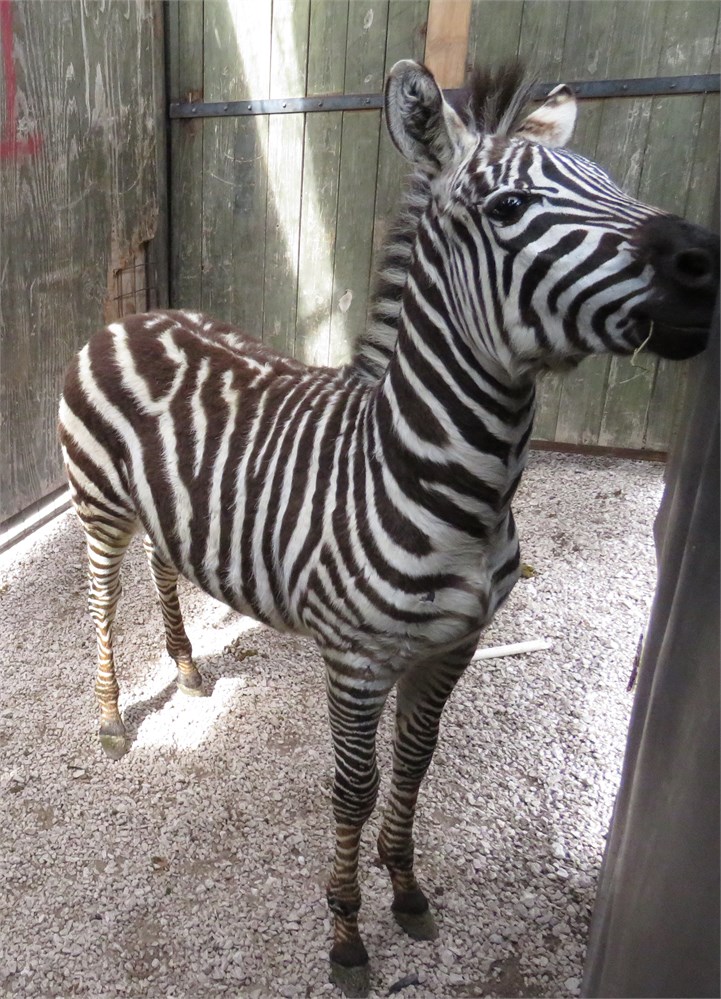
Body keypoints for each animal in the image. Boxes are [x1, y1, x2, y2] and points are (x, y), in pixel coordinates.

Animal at [58, 60, 718, 996]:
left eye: (614, 182)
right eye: (508, 207)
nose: (705, 261)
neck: (463, 493)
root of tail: (133, 315)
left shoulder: (452, 649)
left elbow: (415, 764)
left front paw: (405, 887)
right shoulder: (356, 660)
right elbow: (353, 787)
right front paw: (345, 932)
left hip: (163, 505)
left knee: (161, 567)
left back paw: (185, 666)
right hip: (98, 501)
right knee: (103, 599)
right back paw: (114, 715)